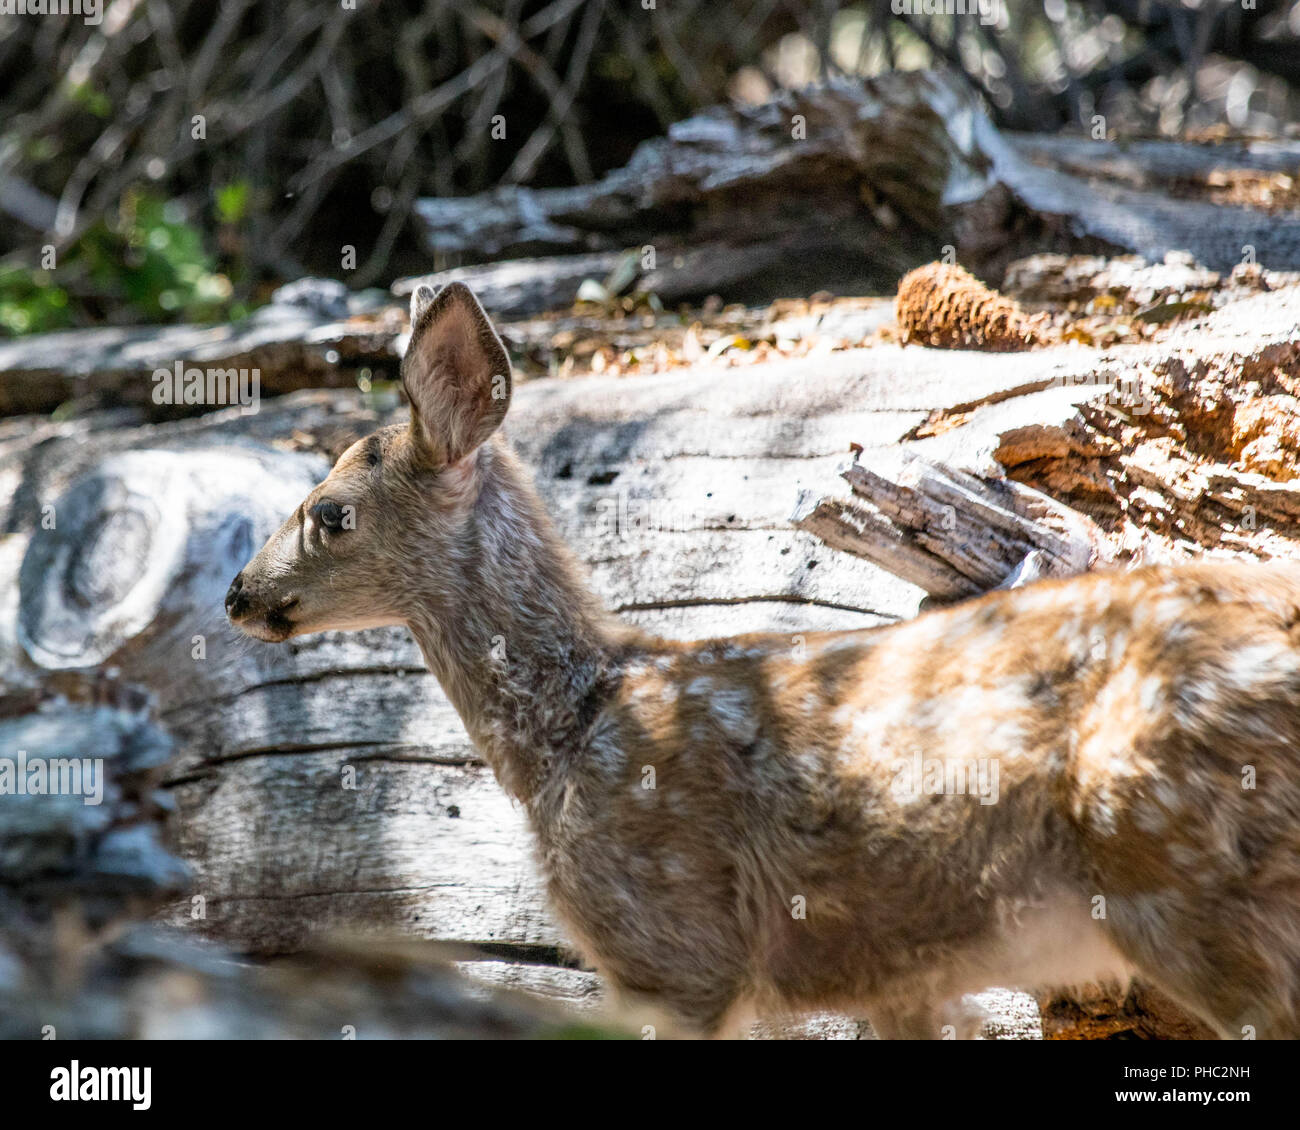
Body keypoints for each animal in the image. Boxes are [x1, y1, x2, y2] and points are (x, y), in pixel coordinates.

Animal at [226, 280, 1300, 1039]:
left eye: (329, 514)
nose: (236, 595)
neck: (571, 731)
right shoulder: (898, 976)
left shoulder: (675, 949)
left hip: (1185, 874)